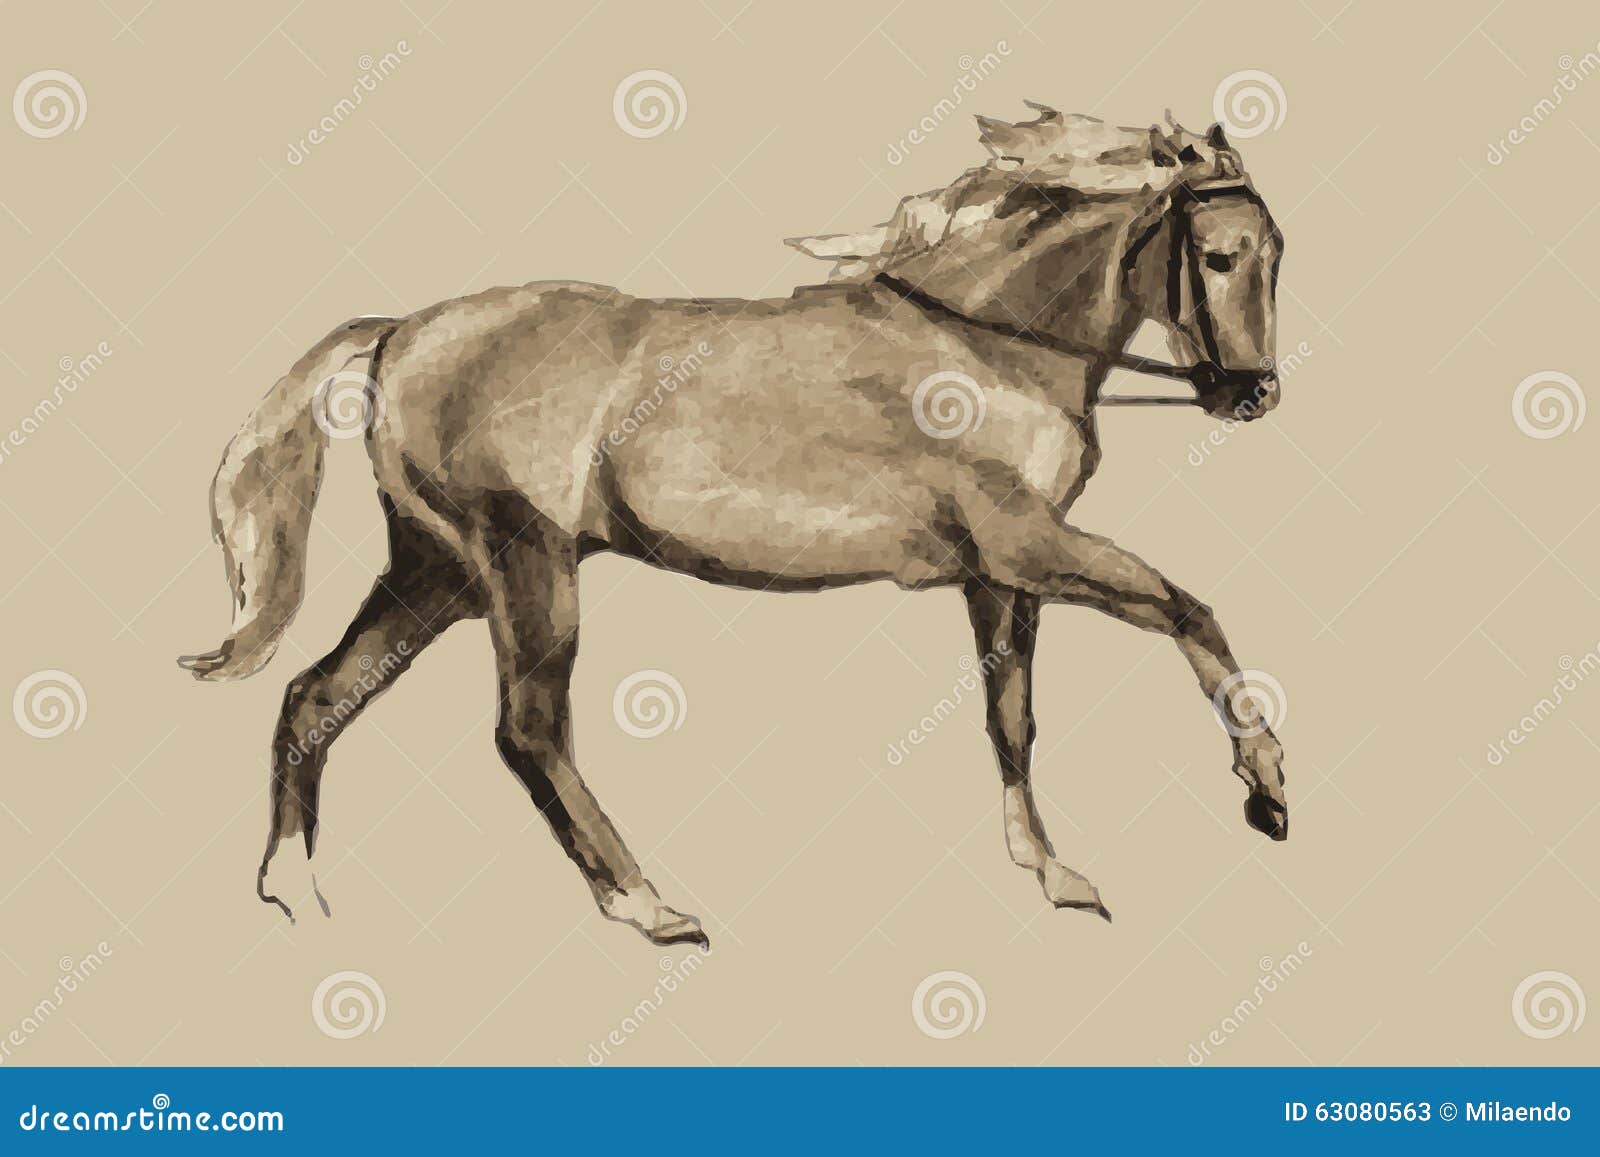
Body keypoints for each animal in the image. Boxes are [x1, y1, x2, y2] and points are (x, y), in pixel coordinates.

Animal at [179, 106, 1289, 948]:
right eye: (1218, 254)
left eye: (1274, 253)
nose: (1252, 395)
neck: (986, 348)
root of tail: (401, 333)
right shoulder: (1028, 545)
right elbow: (1187, 608)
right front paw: (1266, 789)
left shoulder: (998, 571)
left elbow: (1009, 716)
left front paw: (1053, 872)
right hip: (525, 560)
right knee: (527, 728)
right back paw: (648, 905)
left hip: (438, 572)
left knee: (316, 696)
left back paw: (294, 888)